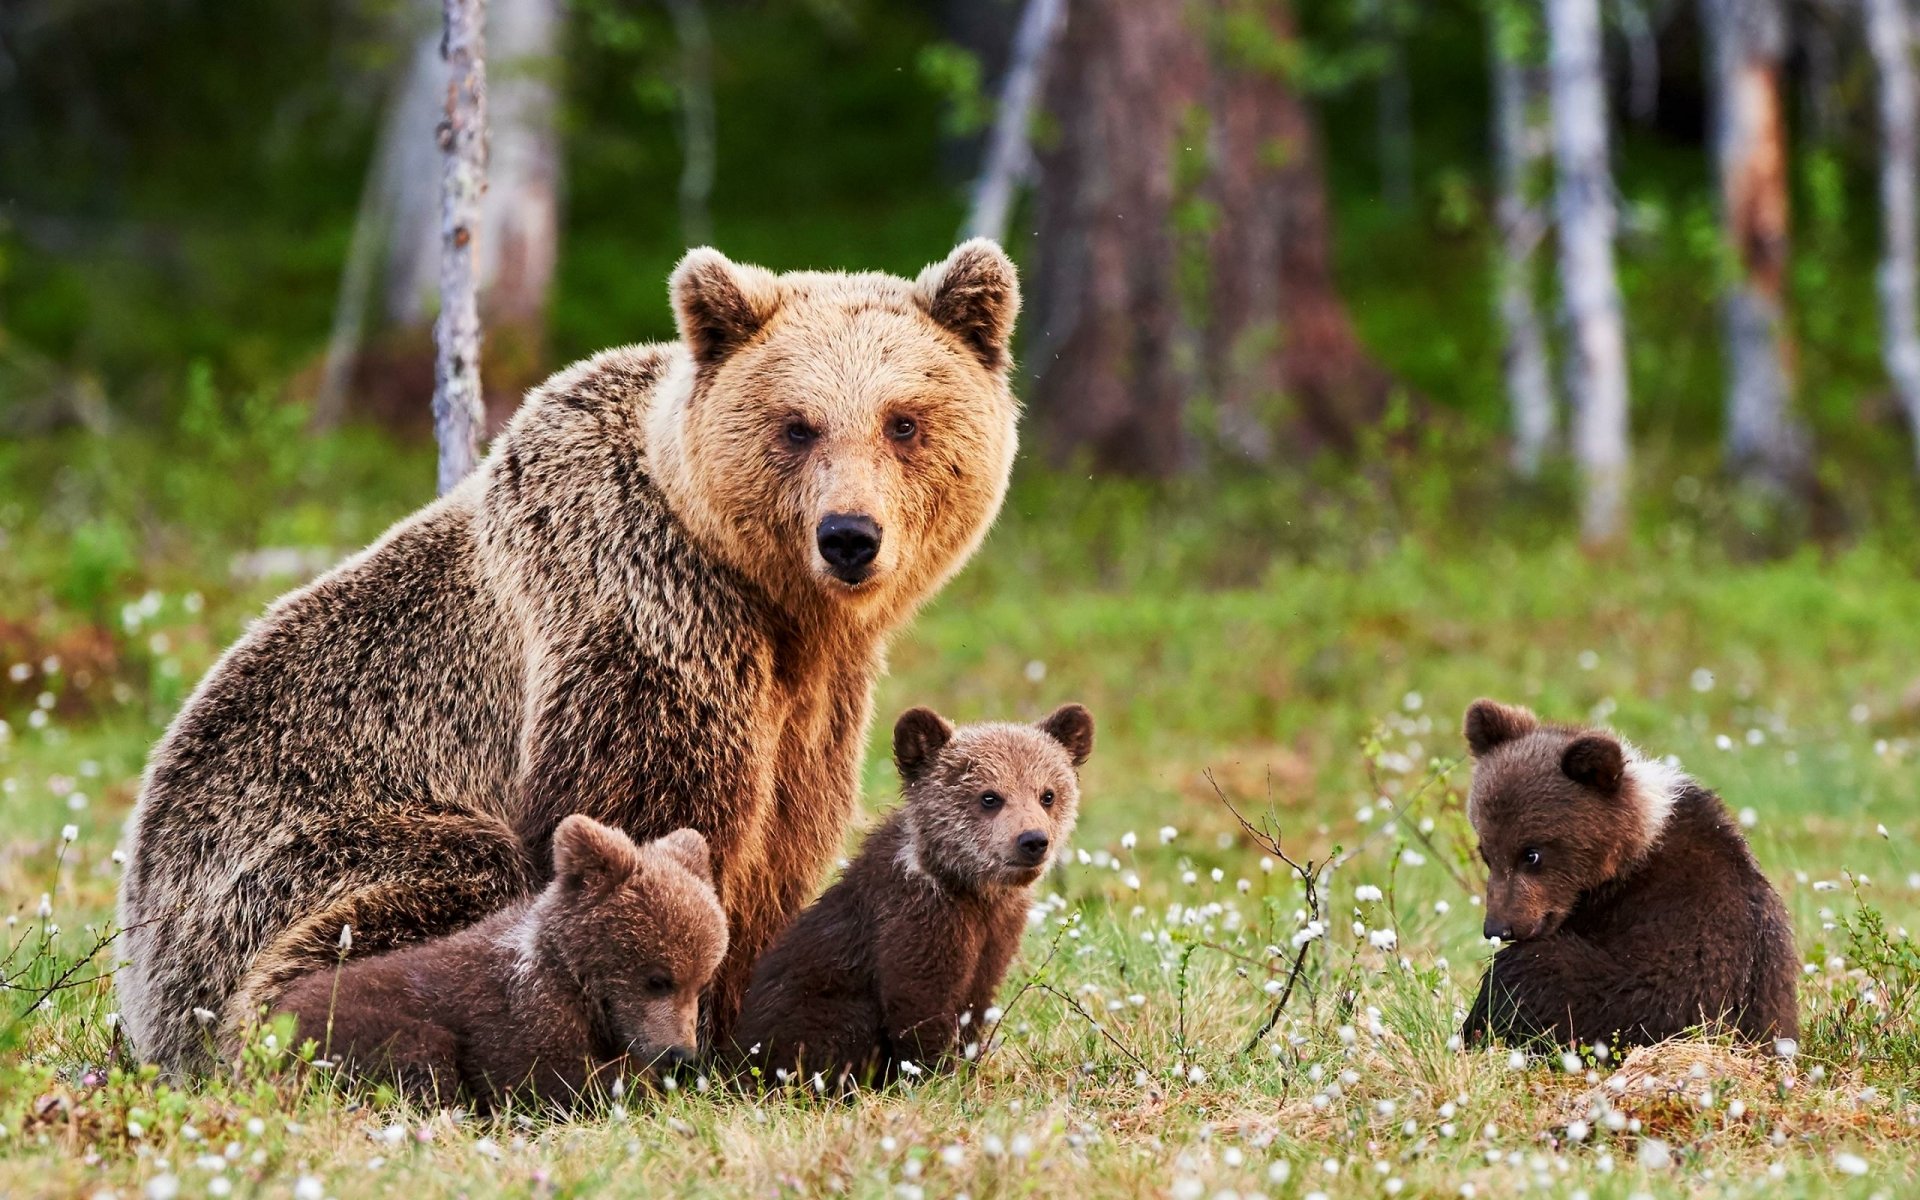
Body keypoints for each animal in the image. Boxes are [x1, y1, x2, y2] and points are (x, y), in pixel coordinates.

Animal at [116, 239, 1023, 1072]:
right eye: (797, 425)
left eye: (903, 421)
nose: (849, 536)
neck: (770, 602)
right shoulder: (641, 616)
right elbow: (646, 824)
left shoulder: (815, 700)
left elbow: (781, 849)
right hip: (287, 863)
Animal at [732, 703, 1093, 1088]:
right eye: (990, 796)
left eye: (1048, 794)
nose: (1033, 840)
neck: (968, 888)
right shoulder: (916, 921)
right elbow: (919, 1006)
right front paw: (936, 1075)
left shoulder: (996, 934)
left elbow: (976, 1002)